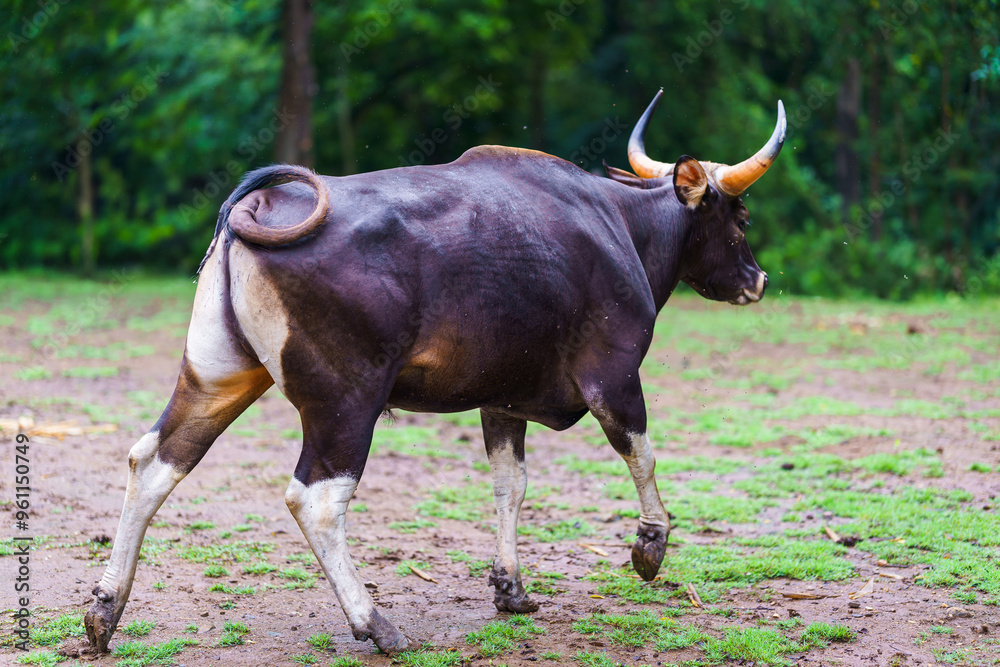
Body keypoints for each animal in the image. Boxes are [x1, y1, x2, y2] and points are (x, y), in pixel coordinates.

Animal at [85, 90, 785, 654]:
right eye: (742, 216)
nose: (757, 280)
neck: (618, 224)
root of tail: (259, 205)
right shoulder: (613, 378)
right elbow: (642, 455)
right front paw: (649, 548)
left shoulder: (501, 401)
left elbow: (511, 485)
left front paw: (511, 589)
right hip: (347, 403)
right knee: (315, 499)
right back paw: (376, 625)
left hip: (217, 380)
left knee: (153, 461)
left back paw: (103, 612)